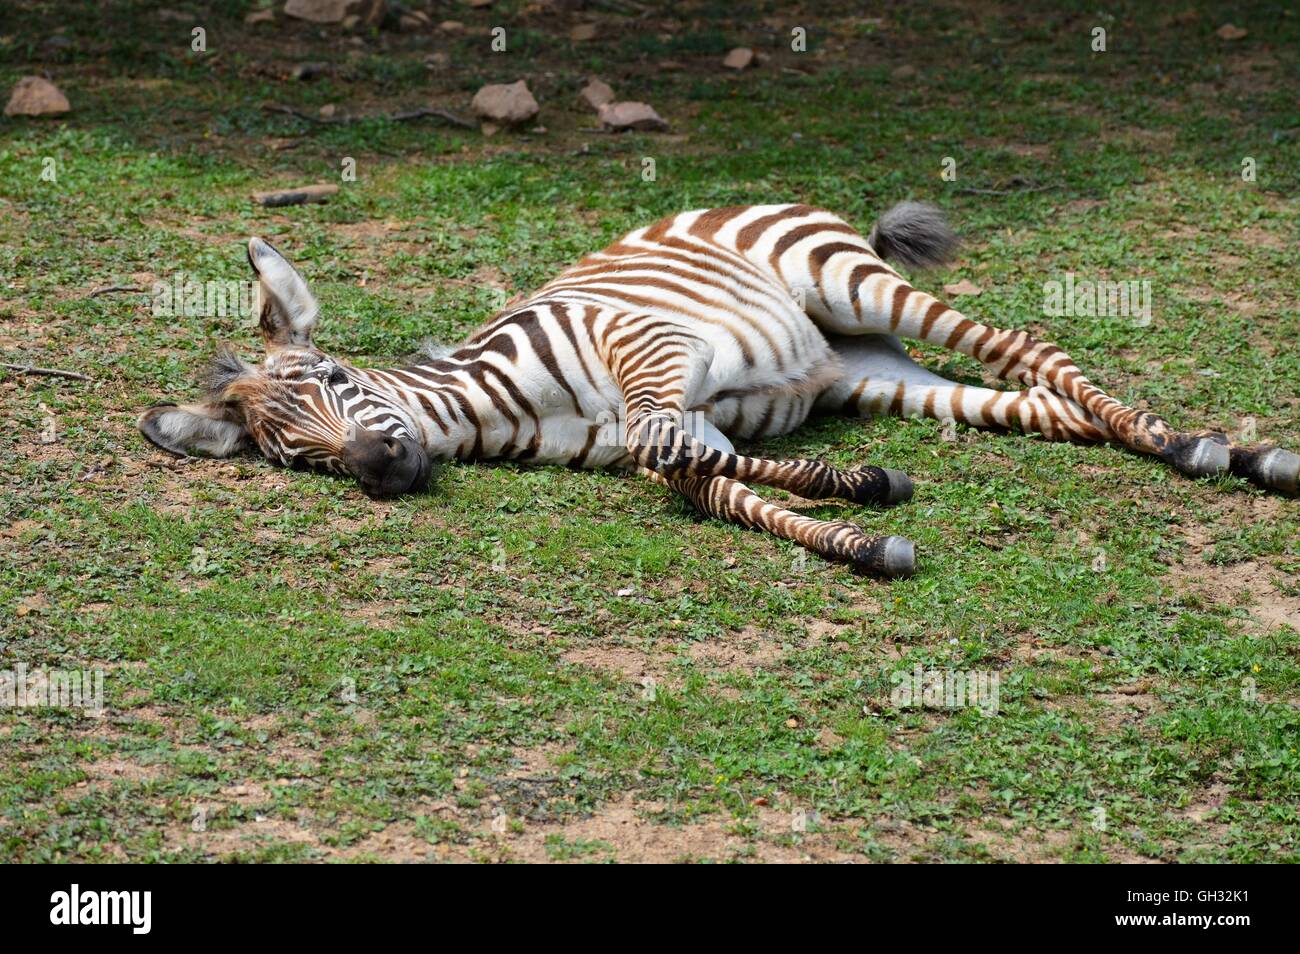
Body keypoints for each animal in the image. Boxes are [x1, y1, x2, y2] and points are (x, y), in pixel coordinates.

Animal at [139, 203, 1298, 578]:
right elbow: (709, 476)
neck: (498, 404)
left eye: (336, 377)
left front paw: (854, 499)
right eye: (299, 459)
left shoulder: (647, 351)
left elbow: (672, 450)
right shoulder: (676, 430)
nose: (382, 468)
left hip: (852, 284)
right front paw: (861, 513)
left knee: (1029, 348)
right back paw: (1215, 449)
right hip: (876, 374)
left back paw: (1195, 448)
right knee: (1040, 405)